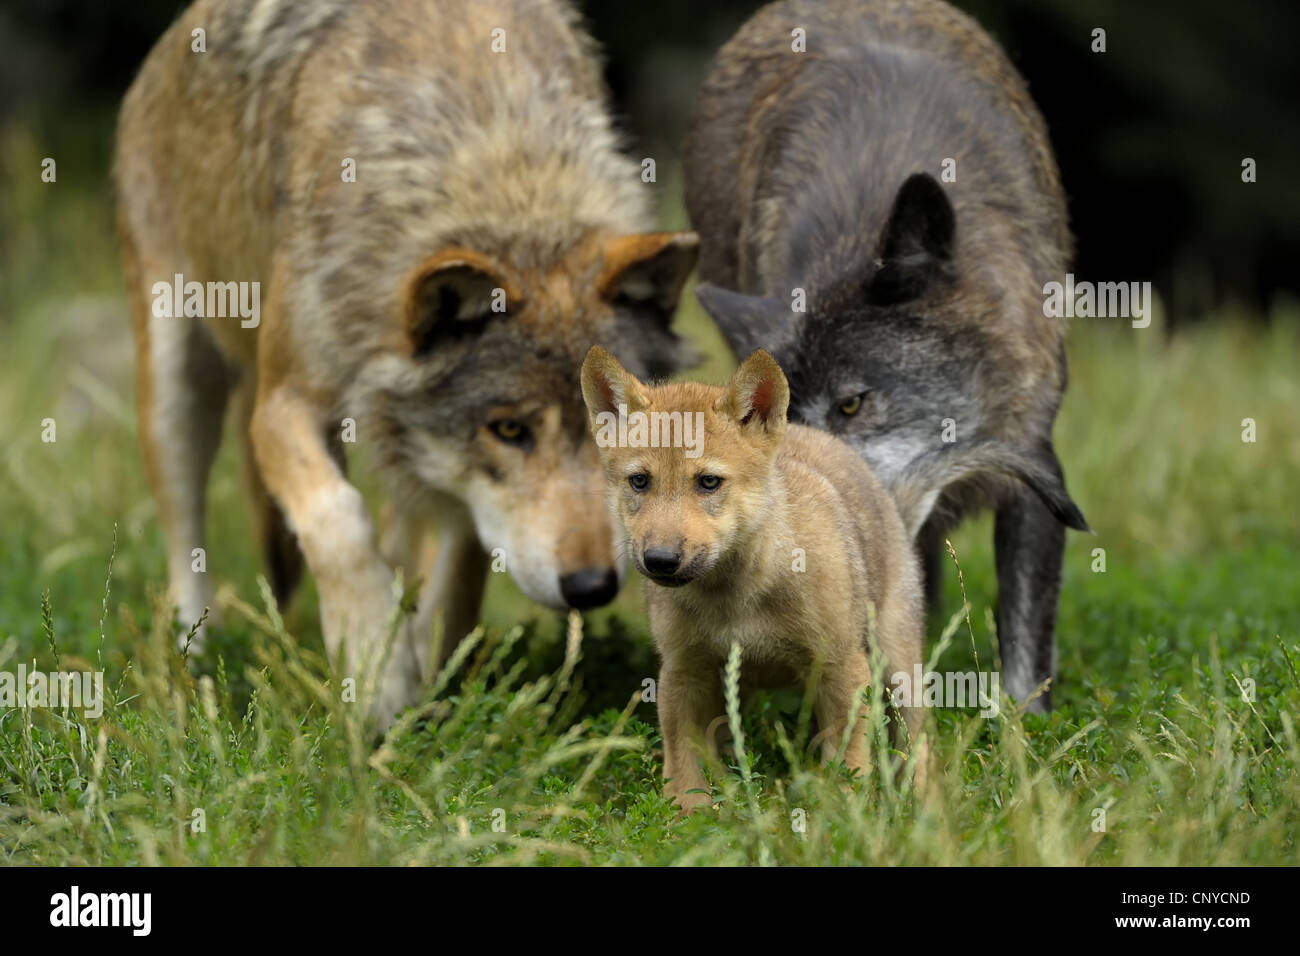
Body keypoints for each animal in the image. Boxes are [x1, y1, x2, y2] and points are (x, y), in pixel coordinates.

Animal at [116, 0, 698, 724]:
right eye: (510, 430)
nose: (591, 586)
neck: (503, 172)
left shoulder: (453, 470)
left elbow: (459, 571)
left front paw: (429, 674)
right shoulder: (283, 407)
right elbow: (337, 517)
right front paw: (375, 671)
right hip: (179, 391)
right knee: (186, 543)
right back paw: (195, 665)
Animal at [582, 346, 927, 811]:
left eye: (709, 482)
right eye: (639, 481)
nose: (660, 560)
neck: (736, 600)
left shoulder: (842, 667)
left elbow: (849, 764)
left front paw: (843, 814)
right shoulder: (684, 671)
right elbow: (684, 768)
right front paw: (690, 817)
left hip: (898, 666)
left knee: (920, 745)